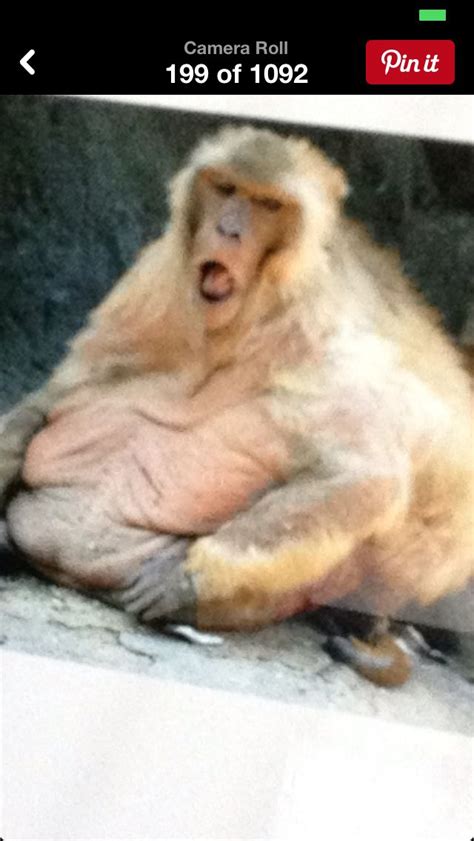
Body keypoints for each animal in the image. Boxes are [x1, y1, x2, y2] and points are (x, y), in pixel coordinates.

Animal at [0, 125, 473, 688]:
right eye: (226, 189)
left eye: (269, 204)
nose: (228, 230)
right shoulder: (155, 279)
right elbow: (64, 391)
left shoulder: (322, 325)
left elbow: (365, 475)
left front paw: (189, 582)